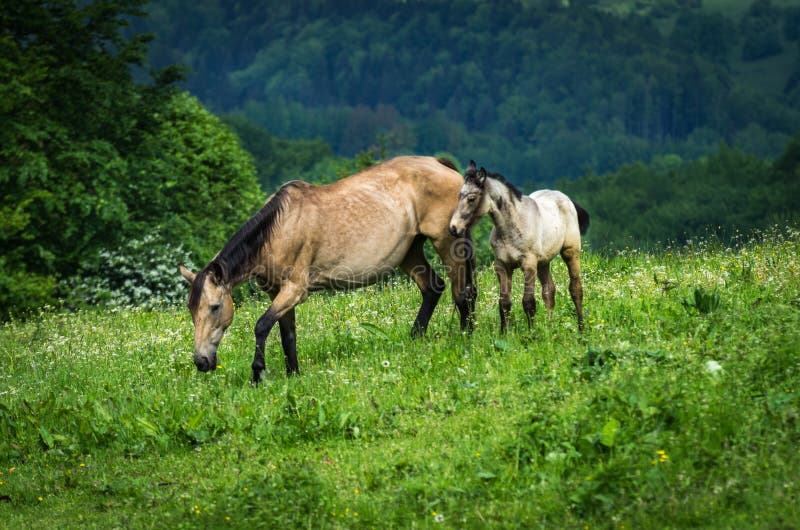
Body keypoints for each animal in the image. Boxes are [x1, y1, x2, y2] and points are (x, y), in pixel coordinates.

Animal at [179, 156, 476, 382]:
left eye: (215, 307)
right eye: (192, 310)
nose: (201, 362)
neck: (278, 229)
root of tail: (442, 165)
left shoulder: (295, 290)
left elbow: (262, 325)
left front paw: (257, 374)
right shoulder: (277, 292)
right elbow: (287, 333)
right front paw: (293, 374)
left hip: (447, 242)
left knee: (462, 292)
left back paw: (465, 336)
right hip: (410, 252)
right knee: (433, 288)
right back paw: (415, 338)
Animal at [449, 161, 589, 332]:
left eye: (471, 198)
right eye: (458, 196)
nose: (454, 228)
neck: (512, 225)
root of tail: (566, 198)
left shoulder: (528, 264)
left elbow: (528, 302)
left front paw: (531, 333)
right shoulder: (502, 266)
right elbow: (504, 302)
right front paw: (504, 333)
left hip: (570, 252)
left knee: (576, 289)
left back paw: (581, 329)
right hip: (543, 262)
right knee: (549, 291)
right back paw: (549, 328)